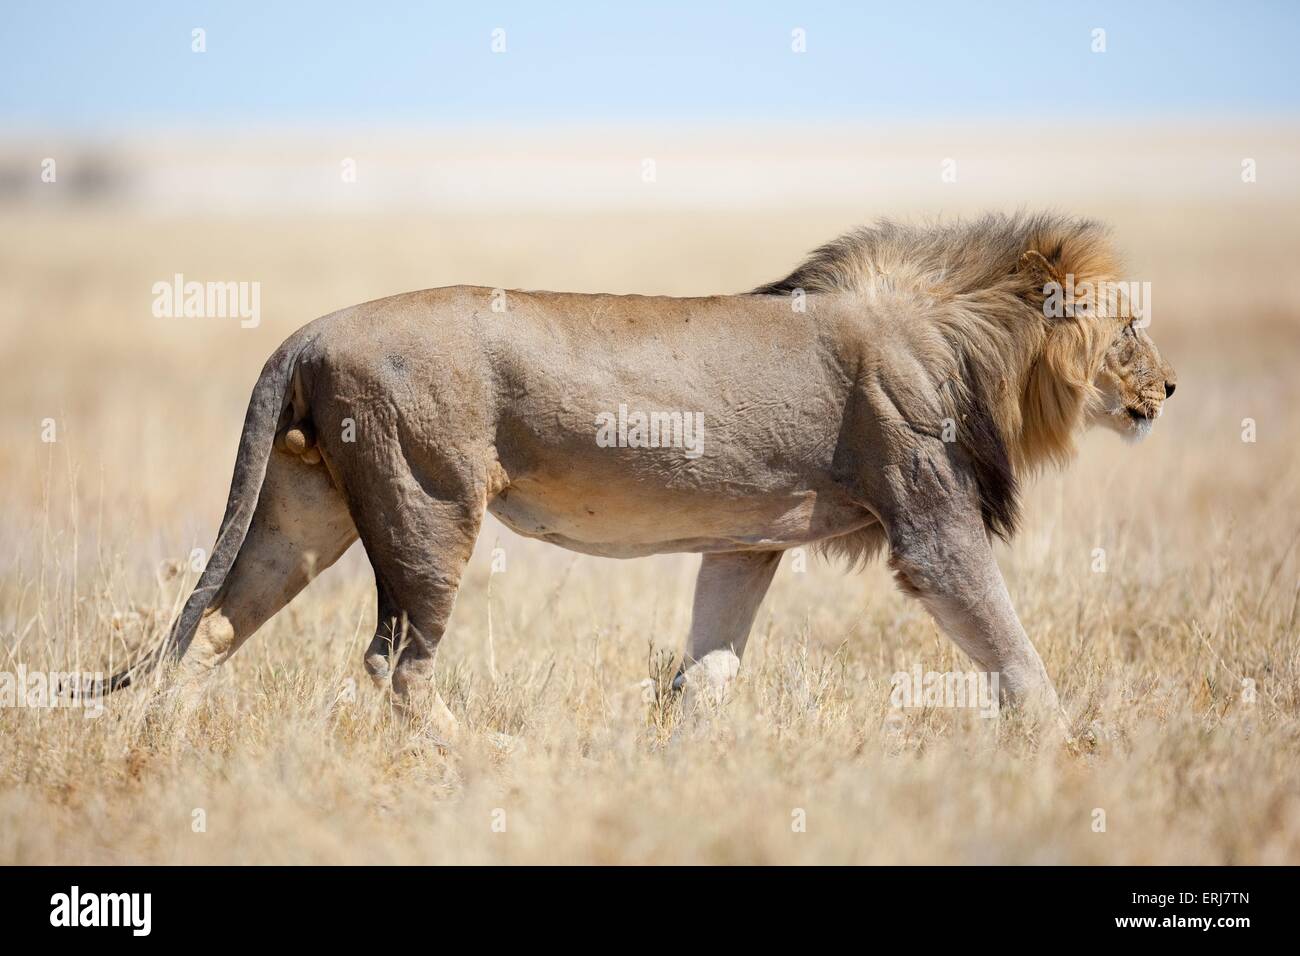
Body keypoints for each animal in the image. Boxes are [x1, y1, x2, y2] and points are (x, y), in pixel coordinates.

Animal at [91, 212, 1175, 731]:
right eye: (1128, 326)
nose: (1168, 386)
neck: (972, 343)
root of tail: (305, 334)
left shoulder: (748, 541)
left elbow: (710, 669)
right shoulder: (930, 528)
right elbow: (1016, 653)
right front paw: (1071, 749)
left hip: (305, 509)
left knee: (212, 628)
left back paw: (163, 745)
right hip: (426, 505)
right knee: (394, 665)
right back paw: (485, 756)